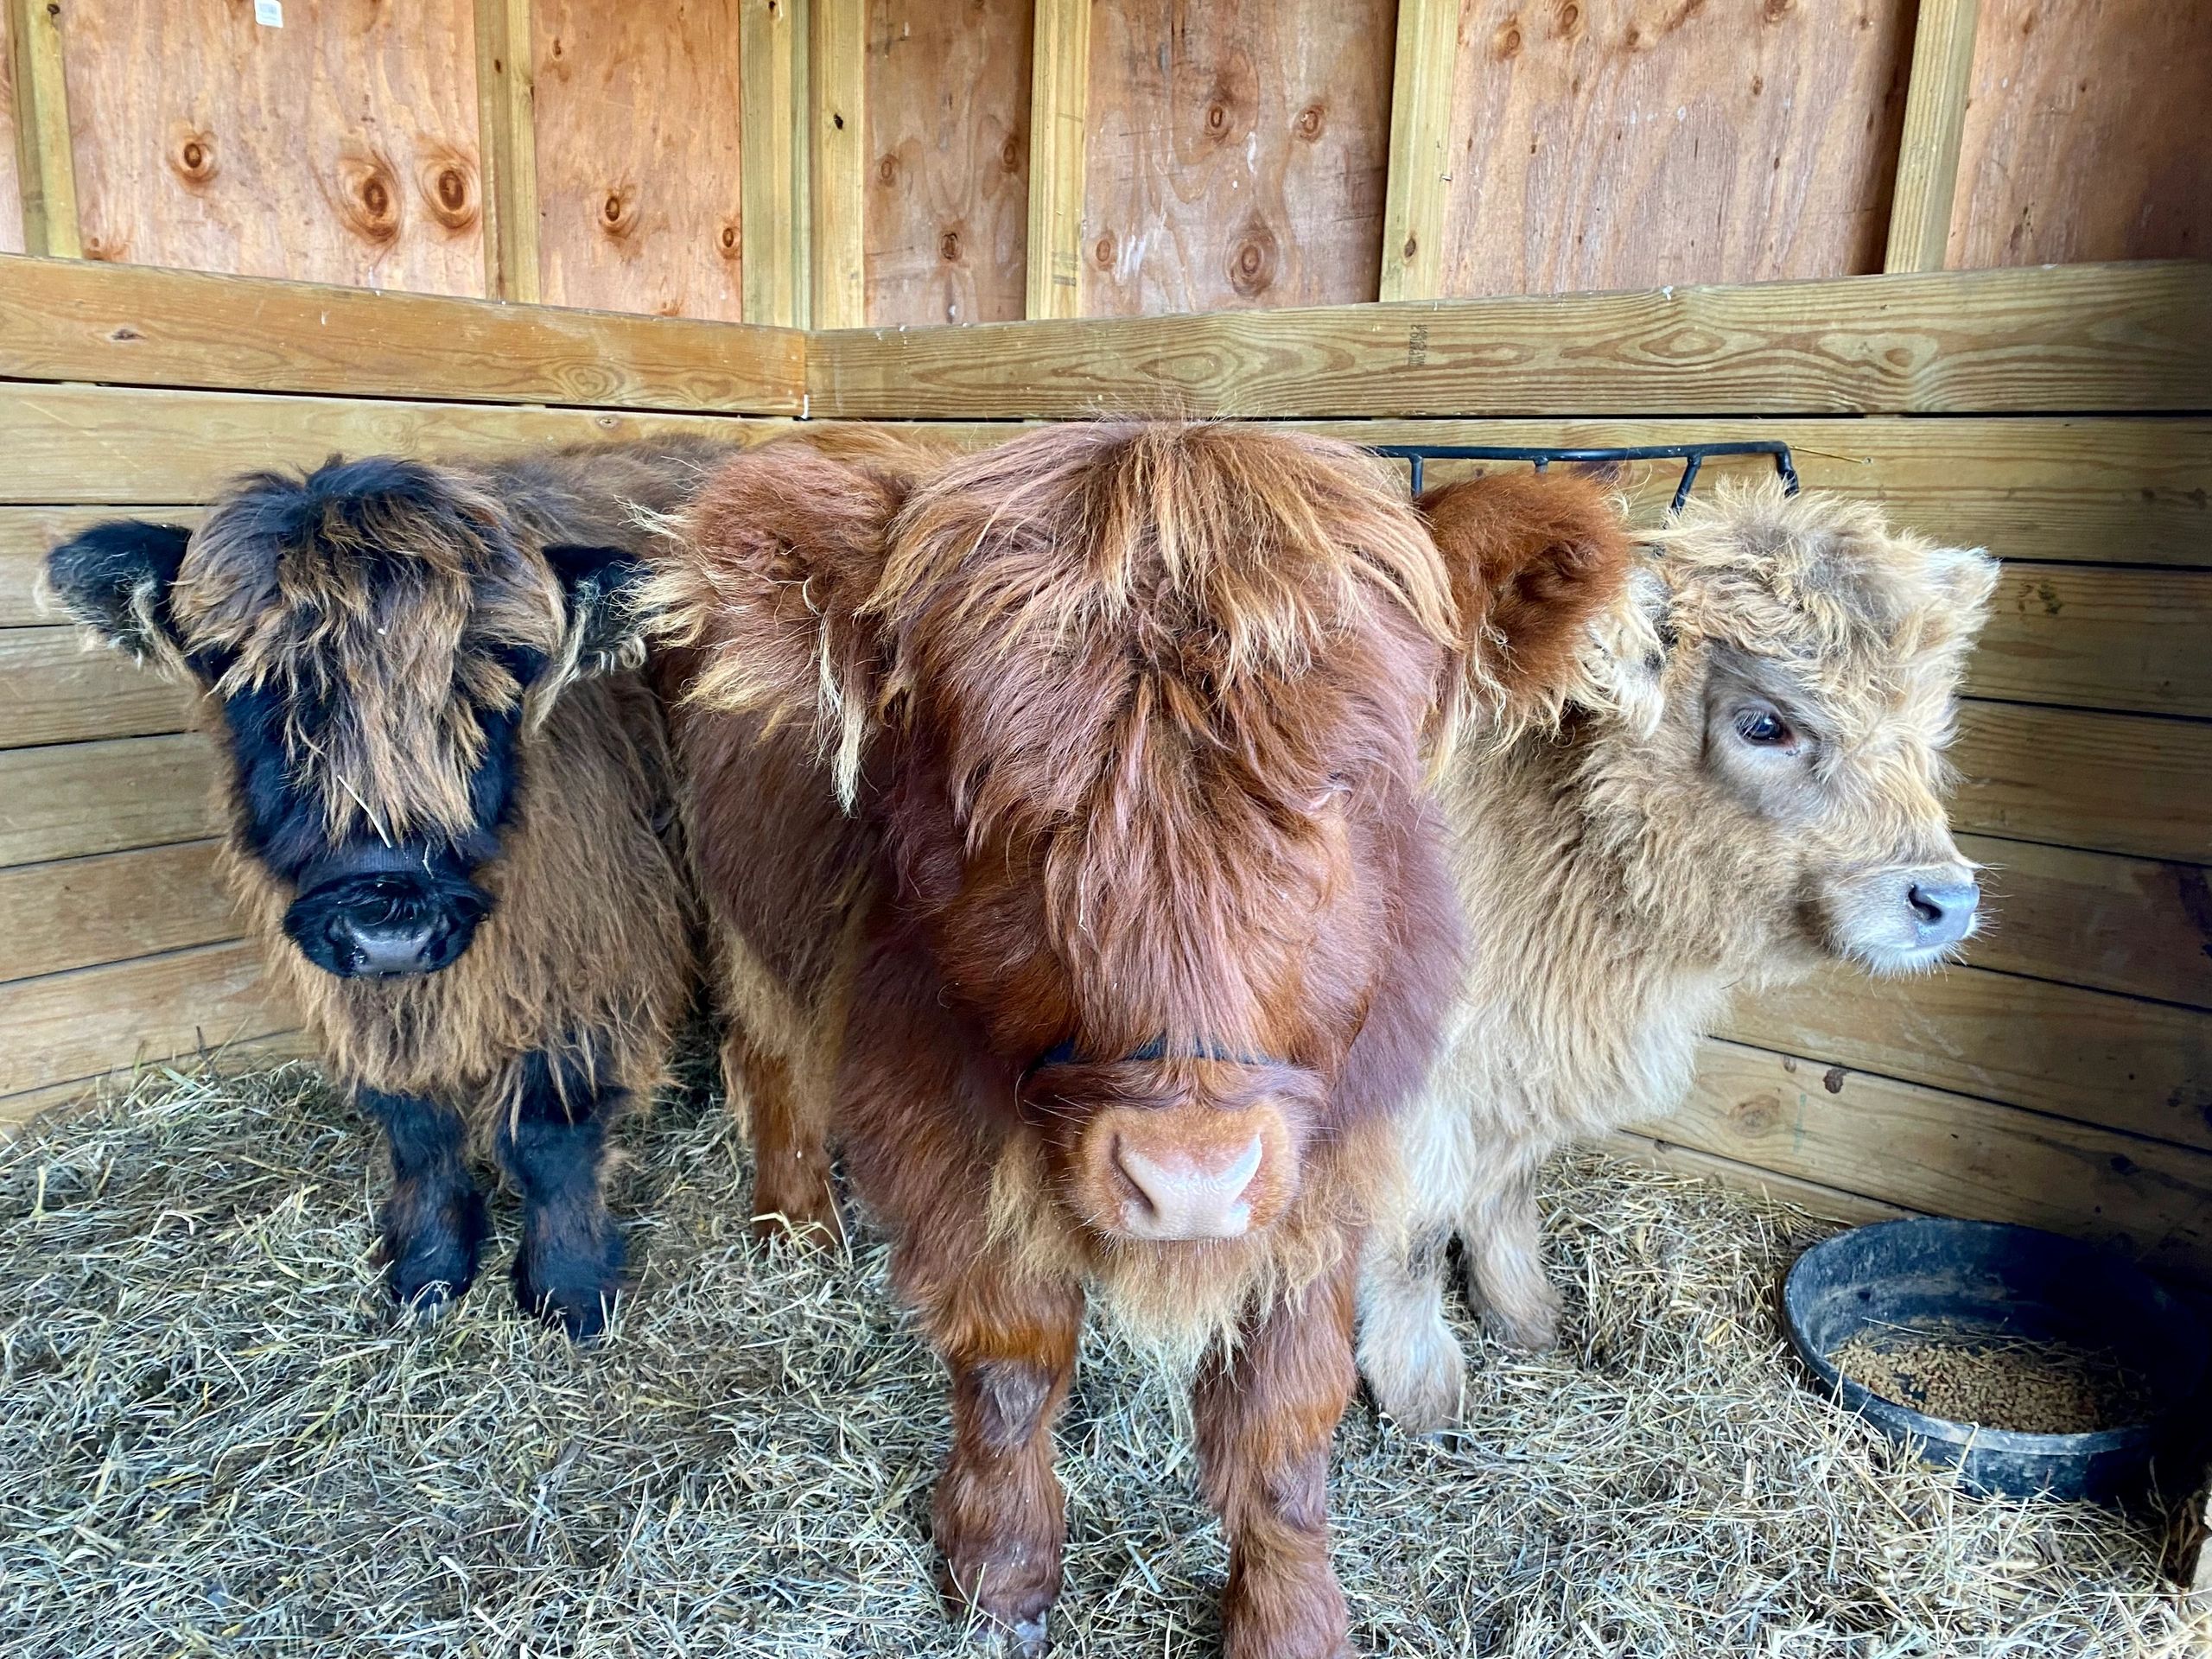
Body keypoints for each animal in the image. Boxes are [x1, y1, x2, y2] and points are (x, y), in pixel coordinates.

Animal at [44, 439, 738, 1338]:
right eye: (248, 676)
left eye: (502, 673)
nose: (389, 931)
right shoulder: (364, 997)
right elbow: (417, 1127)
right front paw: (429, 1267)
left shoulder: (590, 957)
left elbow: (552, 1130)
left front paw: (570, 1289)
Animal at [647, 421, 1632, 1658]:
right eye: (1011, 811)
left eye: (1337, 791)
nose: (1190, 1179)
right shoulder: (946, 1138)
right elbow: (1012, 1367)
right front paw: (1002, 1570)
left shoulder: (1328, 1167)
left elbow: (1286, 1420)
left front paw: (1290, 1616)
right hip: (744, 916)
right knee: (764, 1055)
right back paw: (796, 1225)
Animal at [1354, 471, 1998, 1436]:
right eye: (1765, 724)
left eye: (1927, 725)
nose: (1944, 902)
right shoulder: (1417, 1082)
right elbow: (1414, 1233)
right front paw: (1419, 1389)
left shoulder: (1518, 1056)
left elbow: (1505, 1185)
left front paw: (1526, 1317)